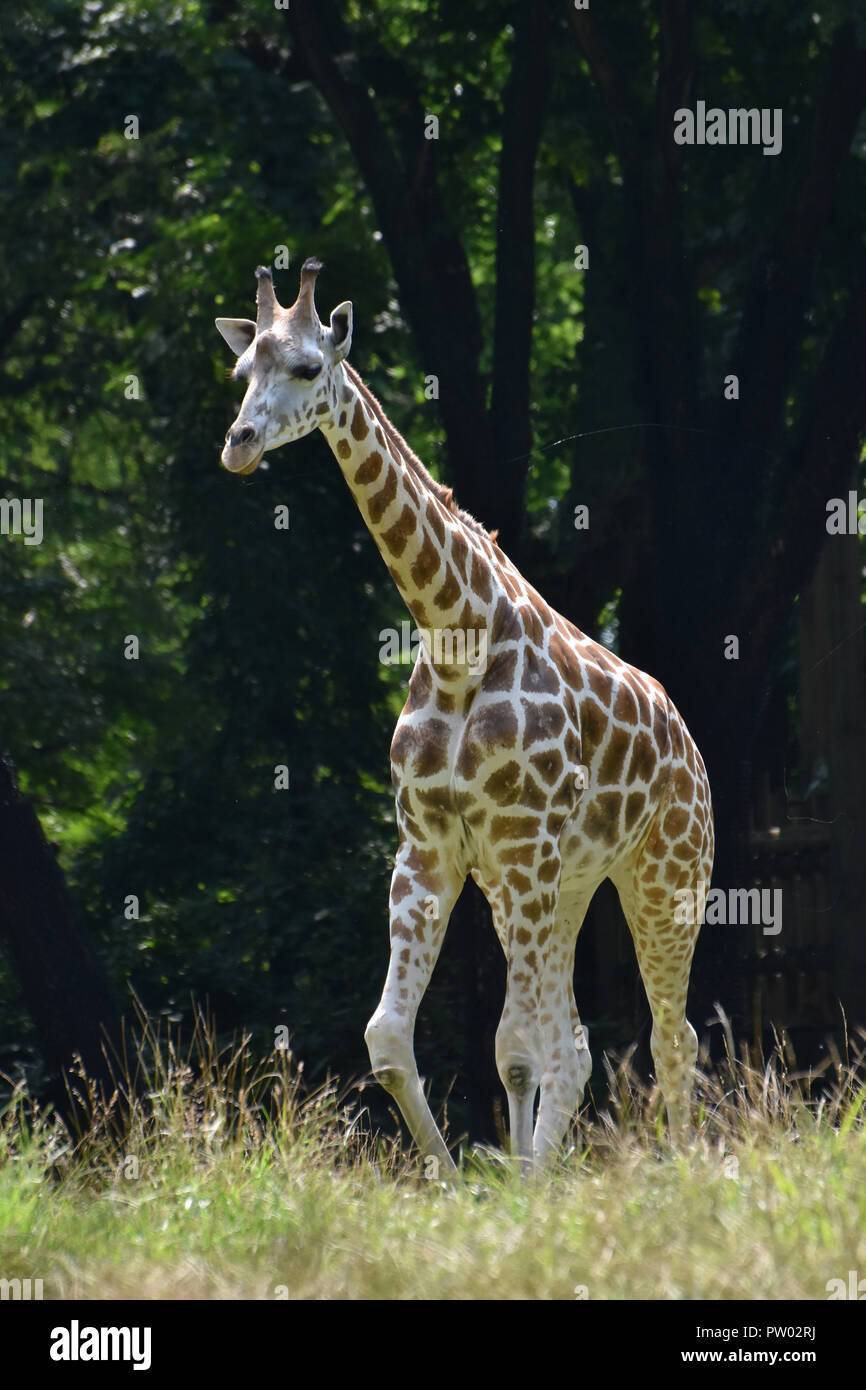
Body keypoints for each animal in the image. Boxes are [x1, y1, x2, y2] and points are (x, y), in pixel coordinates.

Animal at [215, 260, 714, 1174]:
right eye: (240, 372)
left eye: (306, 366)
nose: (238, 443)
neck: (455, 635)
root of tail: (690, 745)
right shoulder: (431, 848)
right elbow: (392, 1039)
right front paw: (463, 1182)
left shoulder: (518, 847)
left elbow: (525, 1046)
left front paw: (523, 1189)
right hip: (569, 882)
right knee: (578, 1041)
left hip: (664, 875)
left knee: (670, 1037)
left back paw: (685, 1169)